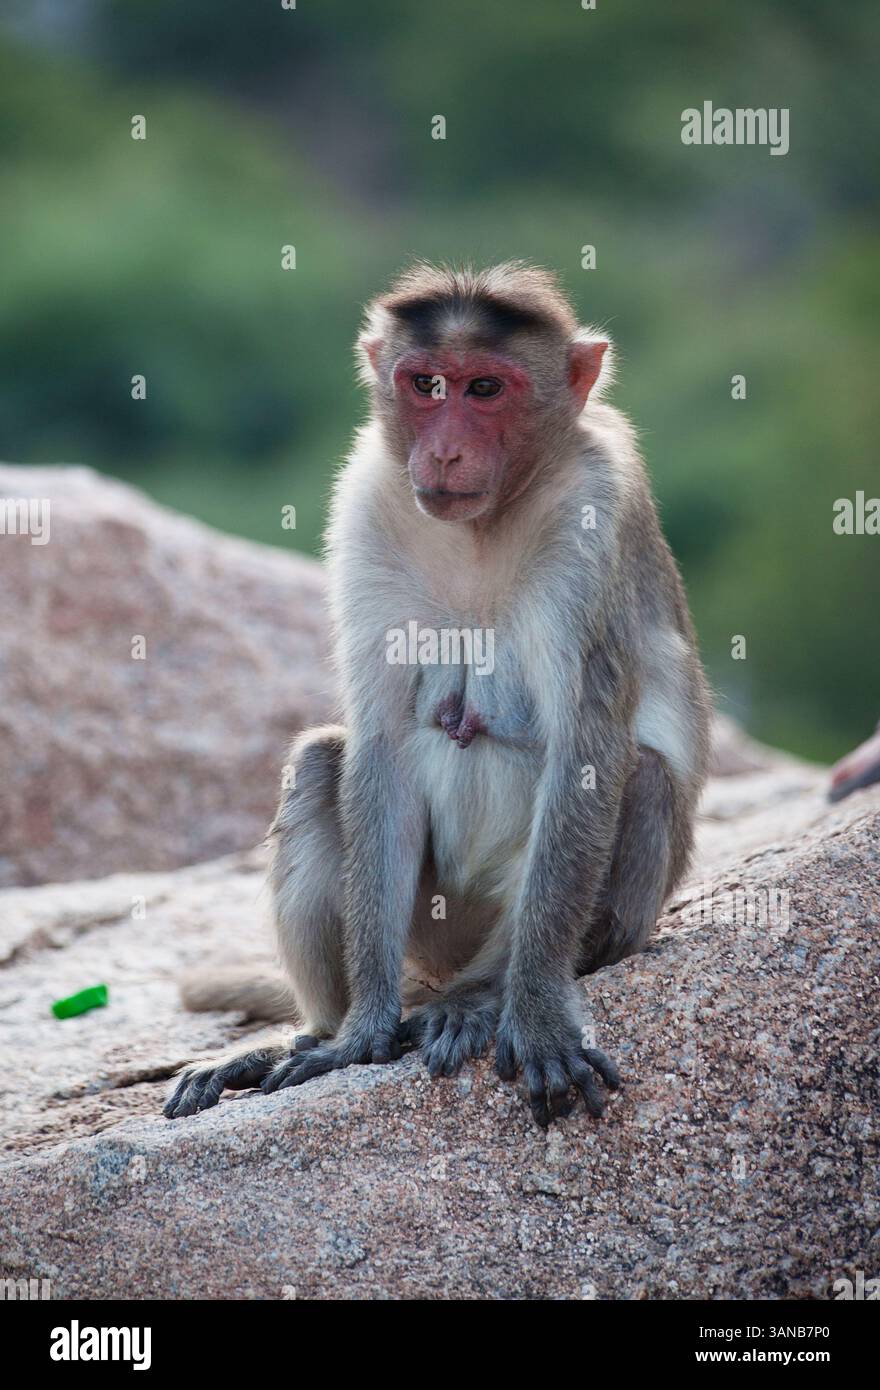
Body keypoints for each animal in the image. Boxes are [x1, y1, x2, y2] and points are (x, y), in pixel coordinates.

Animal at [164, 261, 711, 1129]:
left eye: (485, 388)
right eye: (426, 385)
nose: (446, 450)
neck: (483, 527)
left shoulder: (595, 514)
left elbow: (585, 756)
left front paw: (534, 1014)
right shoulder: (366, 501)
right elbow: (380, 744)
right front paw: (360, 1034)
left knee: (643, 776)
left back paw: (477, 998)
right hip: (422, 938)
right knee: (321, 764)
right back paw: (312, 1032)